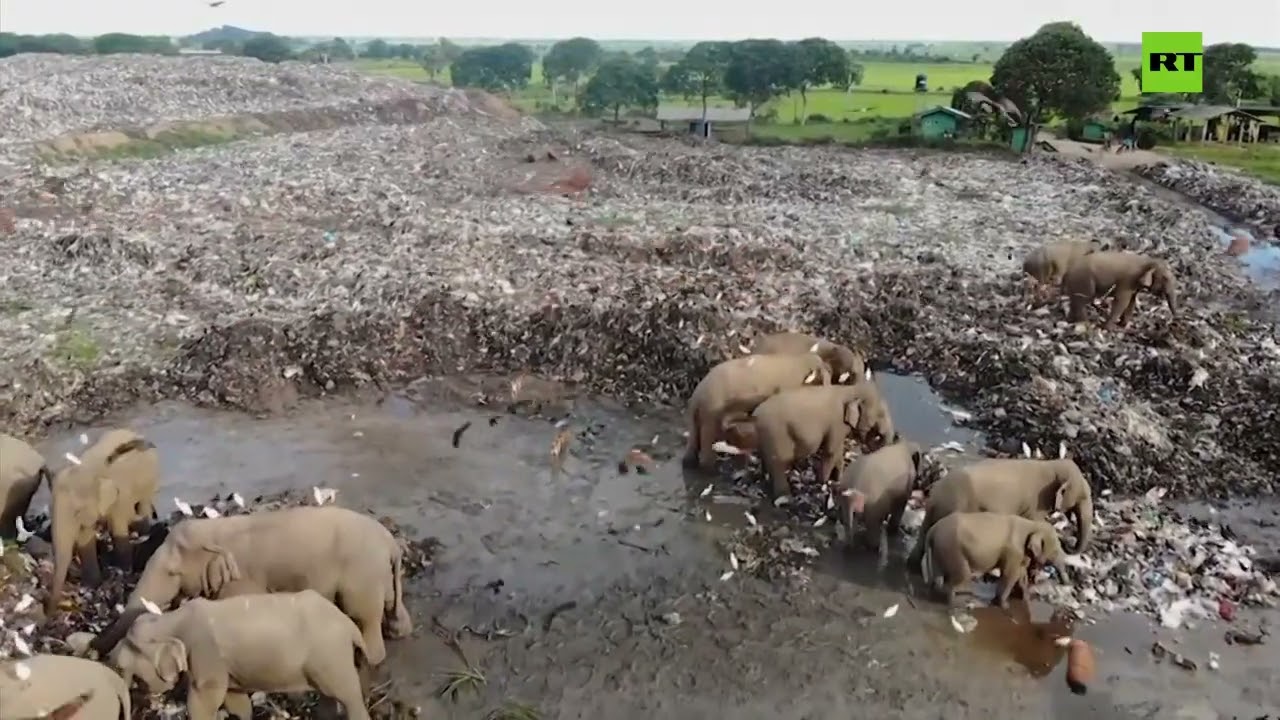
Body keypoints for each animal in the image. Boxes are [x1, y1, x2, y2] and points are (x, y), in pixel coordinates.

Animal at [47, 428, 160, 615]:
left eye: (77, 511)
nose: (49, 613)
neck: (86, 469)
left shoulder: (120, 494)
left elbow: (118, 527)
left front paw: (124, 571)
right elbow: (86, 537)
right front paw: (93, 584)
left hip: (151, 478)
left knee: (144, 503)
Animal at [92, 505, 412, 667]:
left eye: (172, 572)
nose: (94, 652)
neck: (213, 530)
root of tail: (390, 542)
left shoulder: (241, 579)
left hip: (361, 575)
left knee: (363, 616)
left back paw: (365, 660)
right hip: (381, 575)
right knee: (390, 606)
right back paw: (399, 631)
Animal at [109, 590, 370, 720]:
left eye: (124, 669)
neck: (169, 620)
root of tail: (349, 625)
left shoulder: (206, 654)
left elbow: (204, 701)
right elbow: (236, 701)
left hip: (331, 655)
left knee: (348, 697)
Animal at [906, 456, 1093, 573]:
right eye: (1083, 496)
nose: (1069, 544)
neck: (1051, 464)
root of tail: (936, 494)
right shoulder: (1035, 505)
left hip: (934, 511)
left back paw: (912, 567)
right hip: (956, 507)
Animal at [921, 512, 1067, 608]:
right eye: (1055, 552)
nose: (1064, 583)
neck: (1033, 524)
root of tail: (932, 530)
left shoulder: (1020, 554)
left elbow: (1021, 575)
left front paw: (1025, 600)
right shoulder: (1013, 551)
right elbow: (1010, 575)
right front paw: (1004, 605)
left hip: (939, 549)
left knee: (939, 578)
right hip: (952, 548)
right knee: (962, 575)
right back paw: (956, 601)